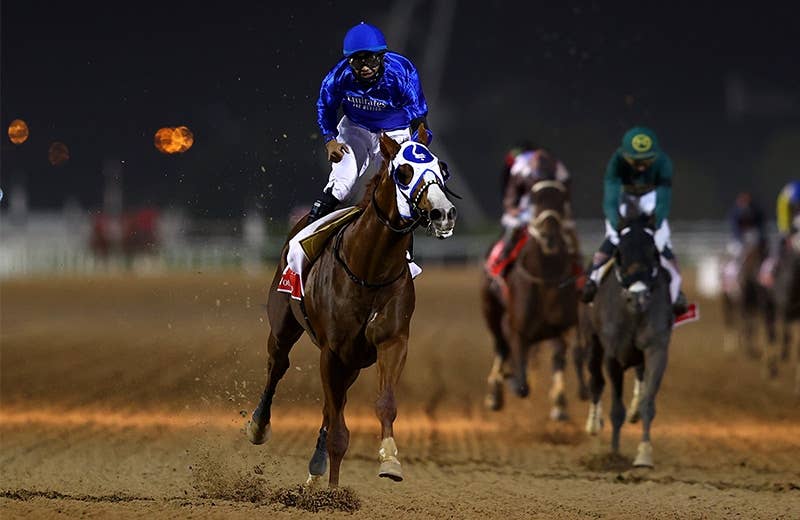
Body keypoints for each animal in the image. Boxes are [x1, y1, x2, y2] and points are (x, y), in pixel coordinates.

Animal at [245, 124, 457, 487]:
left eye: (442, 169)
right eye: (403, 172)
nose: (443, 214)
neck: (369, 270)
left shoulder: (391, 342)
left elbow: (384, 403)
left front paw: (390, 461)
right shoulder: (332, 351)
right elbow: (338, 433)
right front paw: (332, 491)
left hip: (354, 361)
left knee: (334, 403)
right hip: (284, 324)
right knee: (278, 366)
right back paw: (260, 425)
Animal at [481, 180, 579, 420]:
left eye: (561, 199)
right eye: (535, 200)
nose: (549, 236)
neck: (544, 277)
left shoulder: (560, 327)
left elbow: (558, 358)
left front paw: (559, 403)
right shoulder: (516, 329)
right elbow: (522, 384)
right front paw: (508, 379)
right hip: (491, 311)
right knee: (501, 346)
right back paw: (495, 392)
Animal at [580, 212, 673, 468]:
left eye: (654, 252)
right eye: (619, 253)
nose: (638, 298)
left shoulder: (656, 349)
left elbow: (648, 402)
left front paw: (644, 454)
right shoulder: (613, 355)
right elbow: (615, 409)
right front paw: (613, 453)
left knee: (639, 376)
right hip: (591, 340)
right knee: (596, 380)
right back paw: (593, 424)